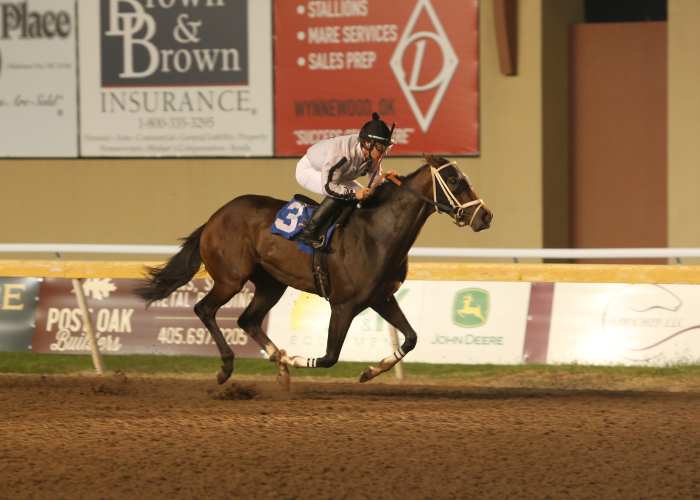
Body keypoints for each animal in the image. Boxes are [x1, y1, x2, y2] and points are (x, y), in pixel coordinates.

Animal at [136, 155, 493, 385]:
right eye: (454, 180)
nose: (485, 216)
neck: (377, 232)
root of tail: (214, 217)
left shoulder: (381, 298)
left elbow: (411, 338)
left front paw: (370, 370)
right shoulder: (344, 305)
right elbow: (330, 355)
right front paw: (295, 359)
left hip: (271, 283)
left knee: (247, 319)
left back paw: (278, 365)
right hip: (230, 278)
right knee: (204, 309)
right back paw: (228, 368)